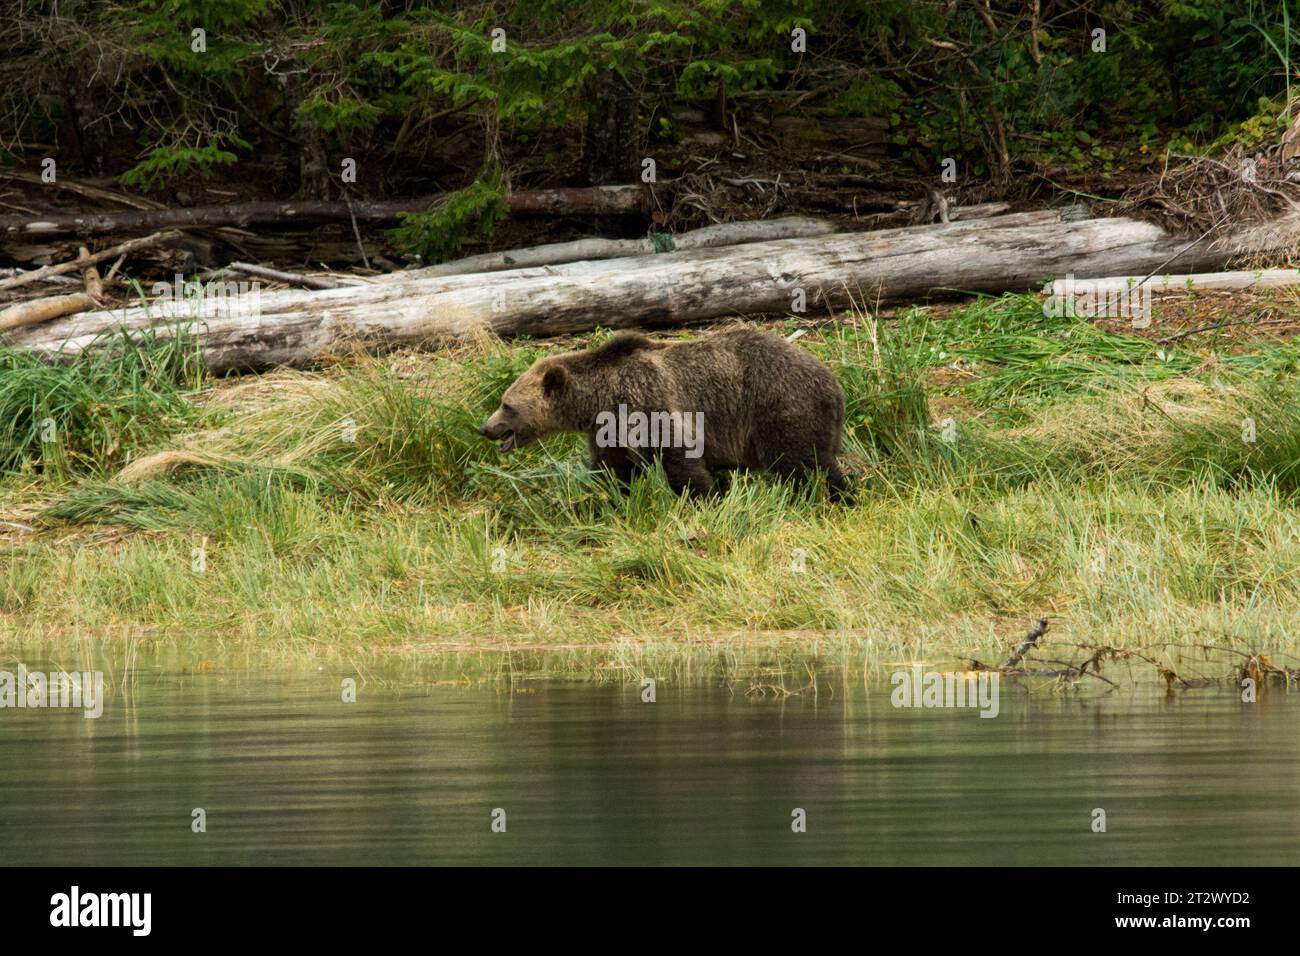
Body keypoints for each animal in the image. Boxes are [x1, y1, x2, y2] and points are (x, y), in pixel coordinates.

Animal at [478, 326, 850, 499]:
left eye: (507, 405)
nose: (485, 428)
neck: (599, 399)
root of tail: (834, 383)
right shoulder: (608, 431)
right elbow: (614, 470)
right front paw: (605, 499)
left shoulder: (649, 405)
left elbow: (679, 460)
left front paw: (705, 497)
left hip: (782, 406)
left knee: (803, 463)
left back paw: (837, 497)